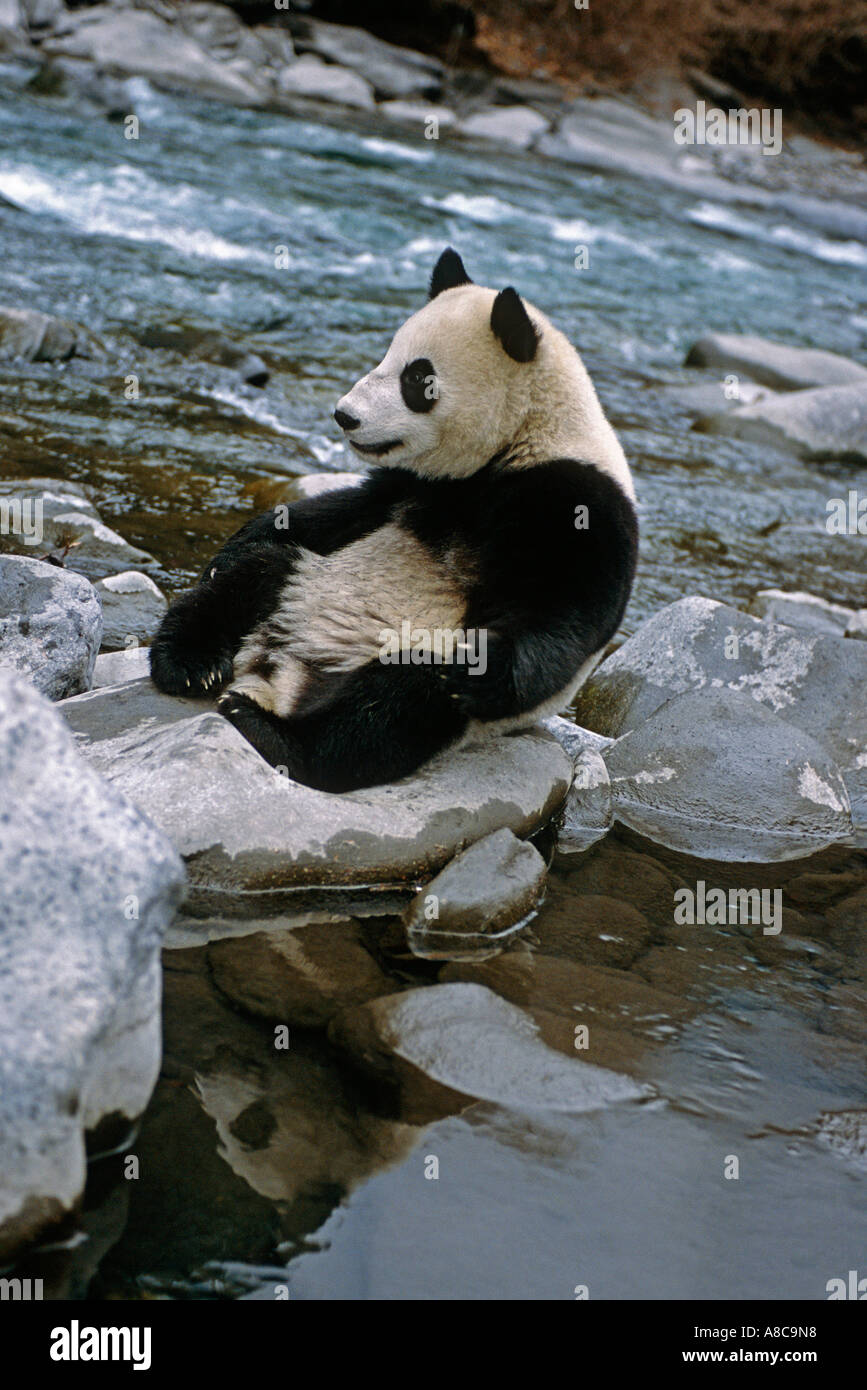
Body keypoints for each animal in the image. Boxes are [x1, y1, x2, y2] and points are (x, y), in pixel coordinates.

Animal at [149, 249, 638, 792]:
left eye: (417, 379)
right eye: (387, 354)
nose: (345, 415)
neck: (523, 438)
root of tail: (284, 673)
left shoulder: (575, 498)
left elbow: (563, 613)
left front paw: (482, 669)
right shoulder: (419, 486)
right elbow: (344, 511)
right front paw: (227, 550)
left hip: (415, 660)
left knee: (395, 705)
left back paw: (271, 732)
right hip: (308, 581)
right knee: (253, 577)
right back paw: (191, 665)